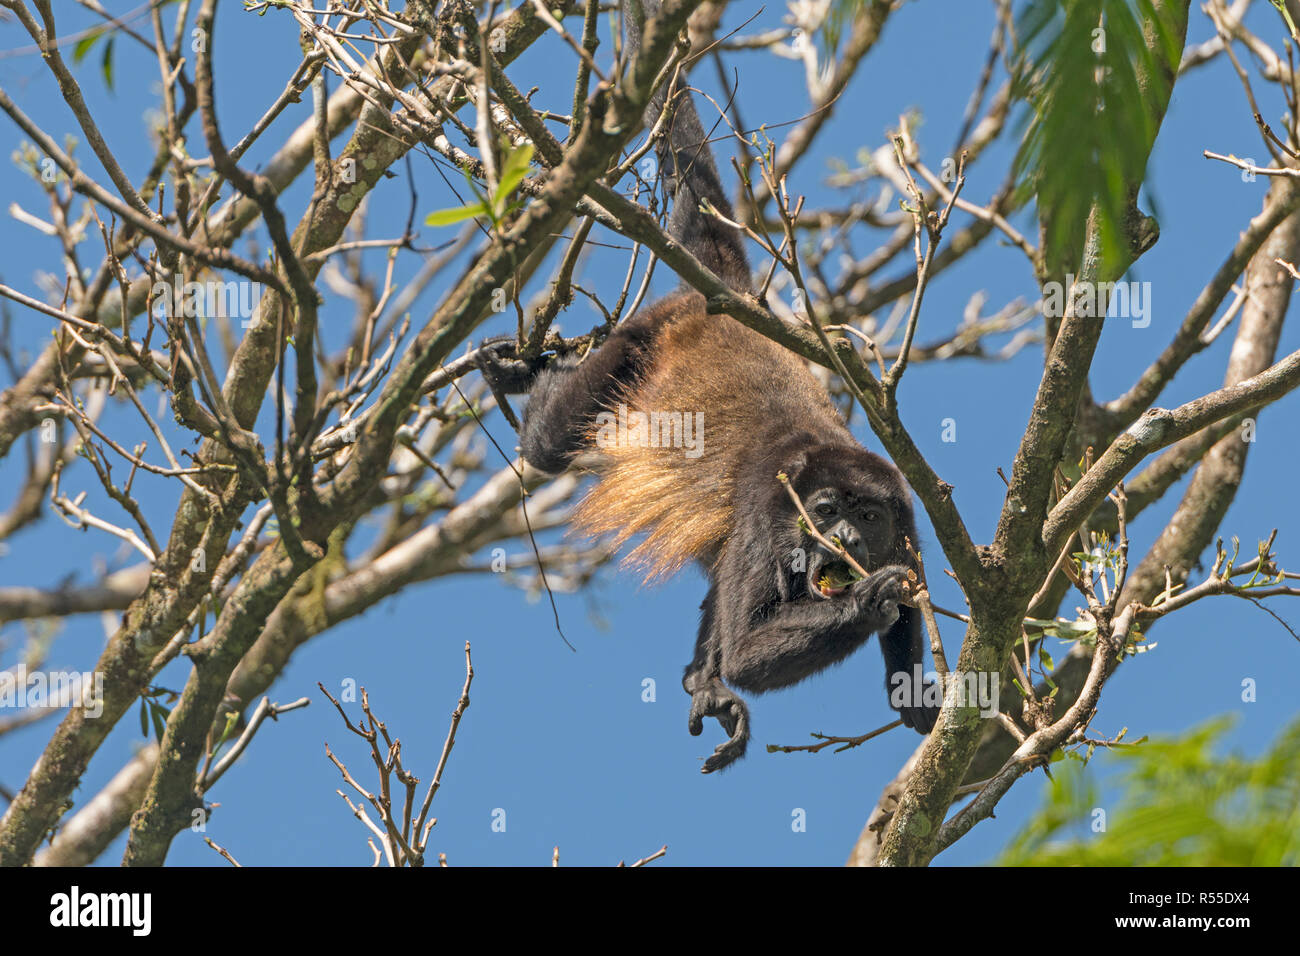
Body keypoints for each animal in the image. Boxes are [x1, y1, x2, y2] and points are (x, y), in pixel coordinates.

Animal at [510, 0, 939, 772]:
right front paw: (873, 599)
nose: (842, 539)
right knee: (551, 442)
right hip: (648, 332)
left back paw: (701, 683)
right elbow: (748, 650)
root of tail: (728, 299)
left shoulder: (910, 520)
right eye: (824, 510)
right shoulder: (773, 510)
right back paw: (530, 380)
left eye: (868, 517)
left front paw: (911, 685)